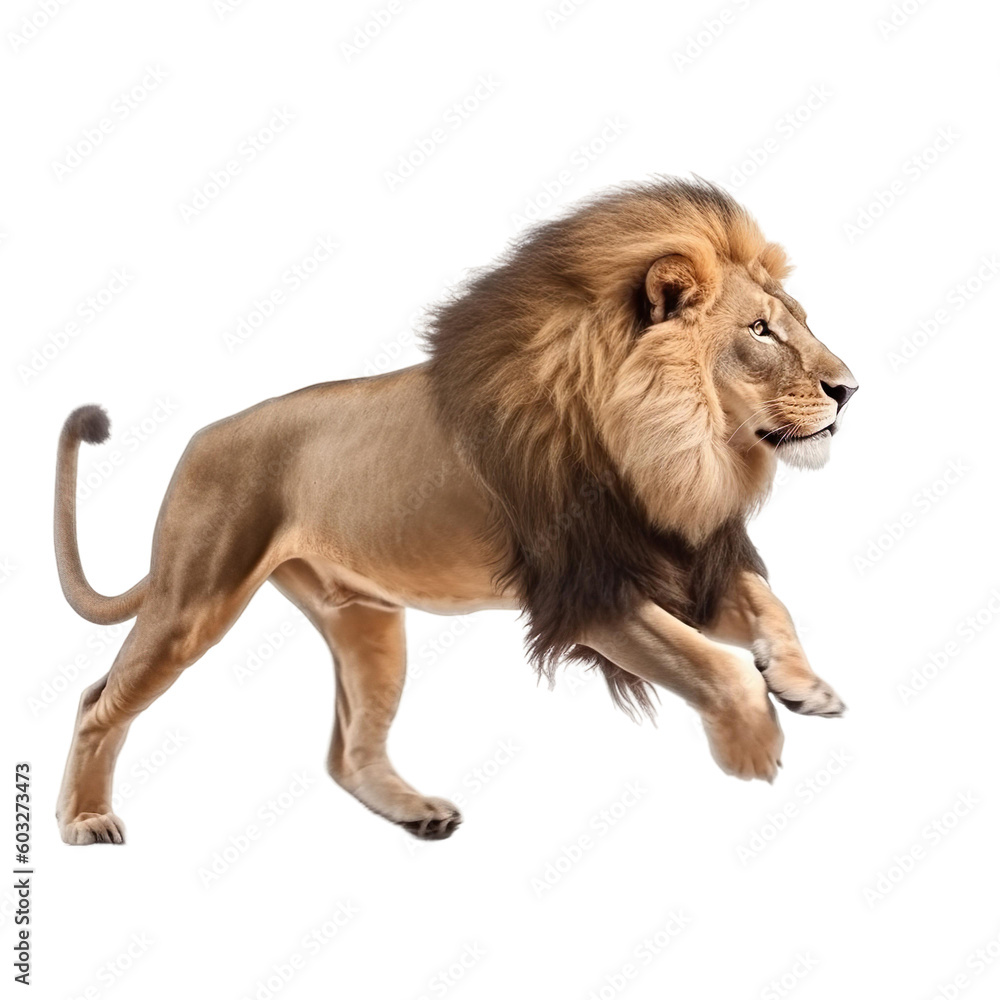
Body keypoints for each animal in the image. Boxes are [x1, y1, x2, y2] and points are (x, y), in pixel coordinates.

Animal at [54, 178, 857, 845]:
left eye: (799, 321)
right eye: (760, 331)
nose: (849, 388)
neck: (681, 450)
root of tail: (201, 437)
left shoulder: (677, 559)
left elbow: (770, 607)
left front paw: (803, 684)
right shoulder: (587, 591)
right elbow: (712, 665)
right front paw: (755, 744)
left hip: (366, 621)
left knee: (348, 750)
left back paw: (415, 812)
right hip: (194, 598)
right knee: (97, 699)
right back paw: (85, 820)